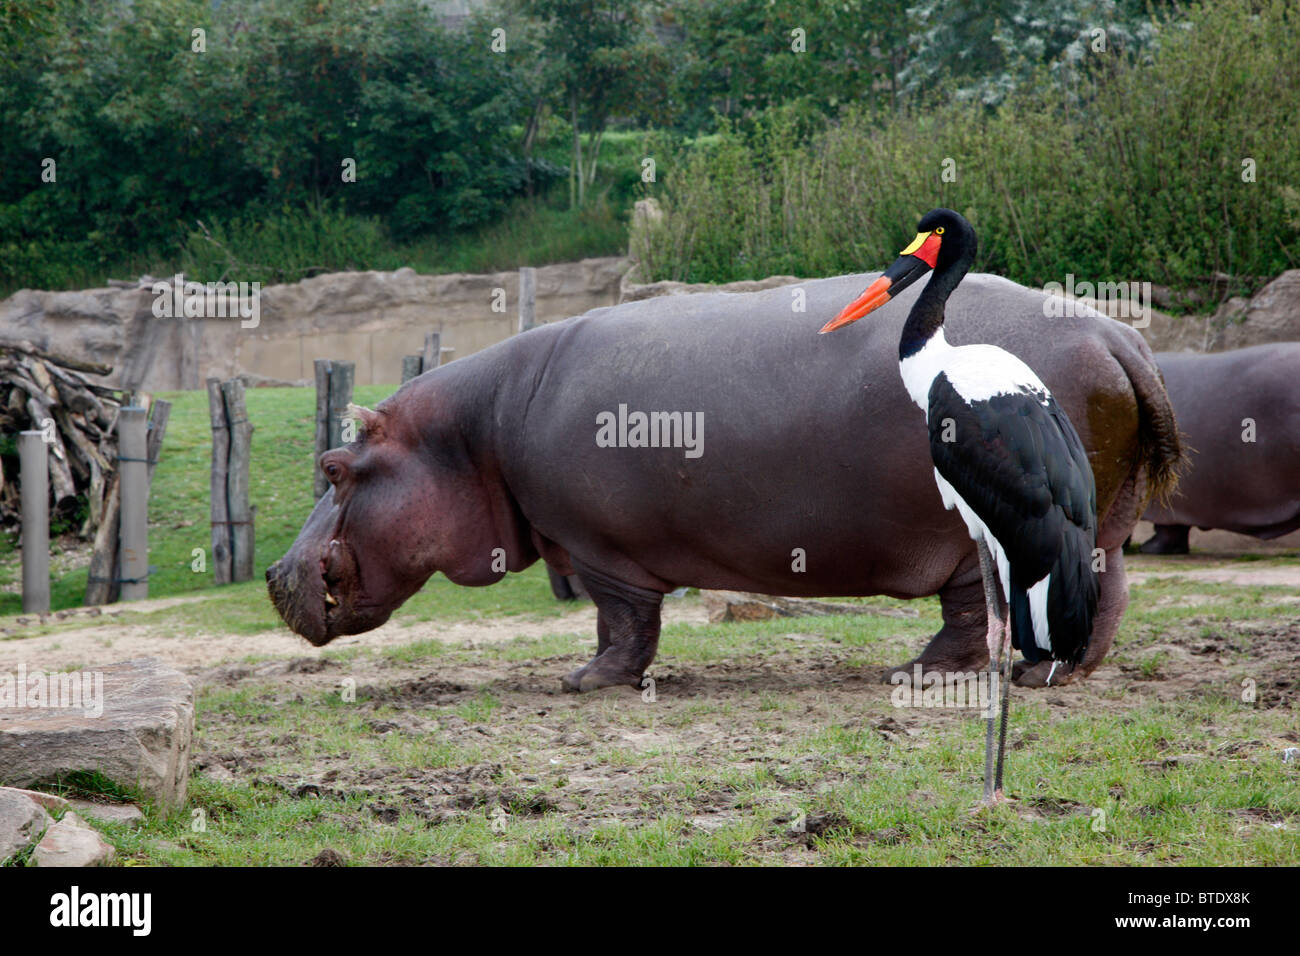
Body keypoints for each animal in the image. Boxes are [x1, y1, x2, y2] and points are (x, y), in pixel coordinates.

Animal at [267, 272, 1181, 691]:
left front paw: (585, 683)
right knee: (1105, 590)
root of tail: (1115, 333)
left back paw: (925, 672)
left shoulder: (601, 549)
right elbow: (621, 623)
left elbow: (621, 623)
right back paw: (1059, 669)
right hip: (1091, 523)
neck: (470, 435)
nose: (276, 573)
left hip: (986, 526)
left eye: (334, 468)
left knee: (972, 608)